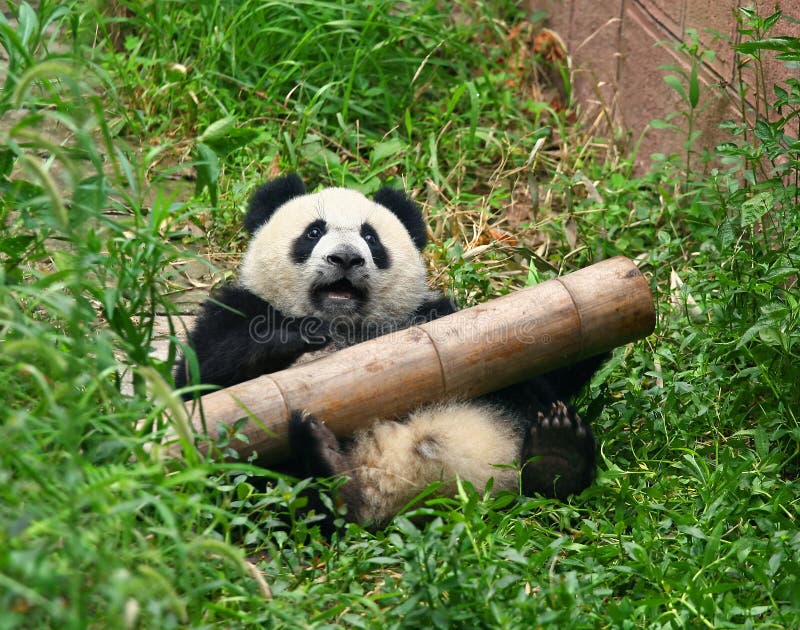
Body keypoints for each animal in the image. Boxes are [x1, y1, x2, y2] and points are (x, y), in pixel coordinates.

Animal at [174, 173, 605, 527]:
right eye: (313, 232)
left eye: (371, 238)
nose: (345, 258)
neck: (347, 326)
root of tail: (396, 480)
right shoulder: (237, 308)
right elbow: (196, 381)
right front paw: (290, 336)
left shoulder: (429, 316)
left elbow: (538, 369)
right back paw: (327, 464)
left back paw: (557, 455)